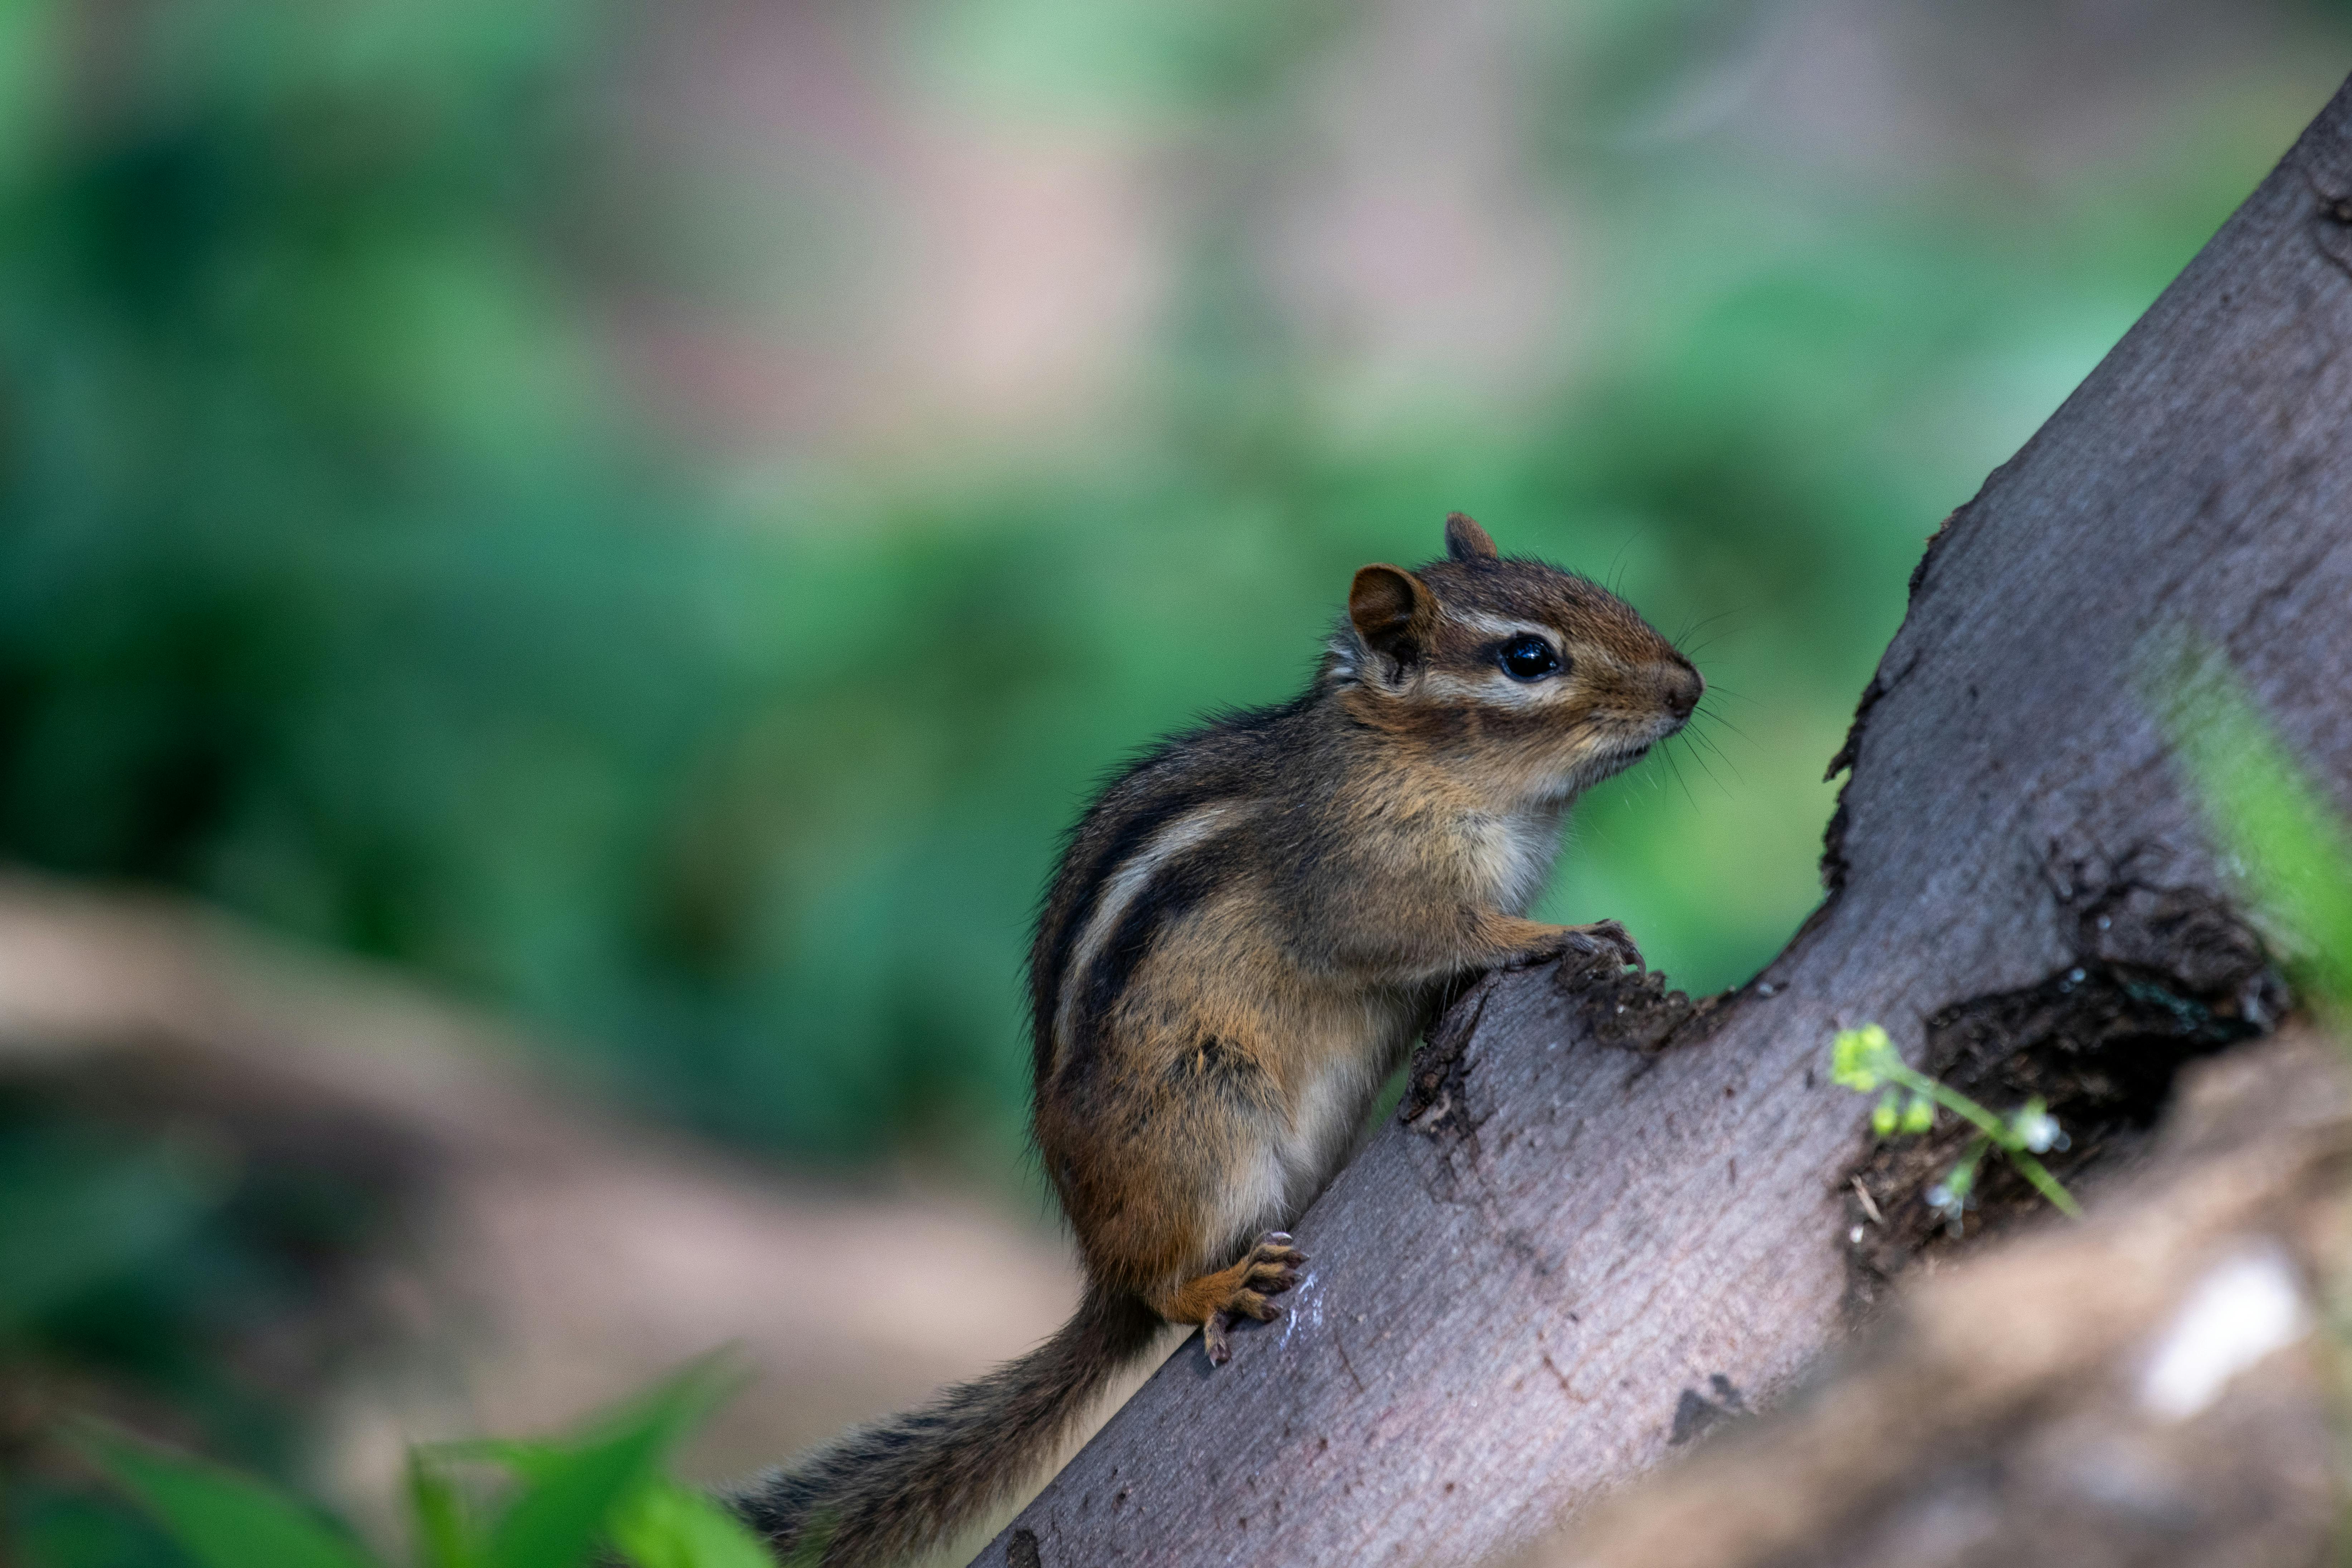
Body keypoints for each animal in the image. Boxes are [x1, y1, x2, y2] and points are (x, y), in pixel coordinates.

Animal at [734, 513, 1702, 1566]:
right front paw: (1557, 934)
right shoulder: (1359, 882)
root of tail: (1100, 1271)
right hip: (1205, 1118)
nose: (1688, 685)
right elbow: (1422, 933)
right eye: (1528, 658)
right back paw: (1212, 1287)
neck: (1402, 757)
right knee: (1161, 1288)